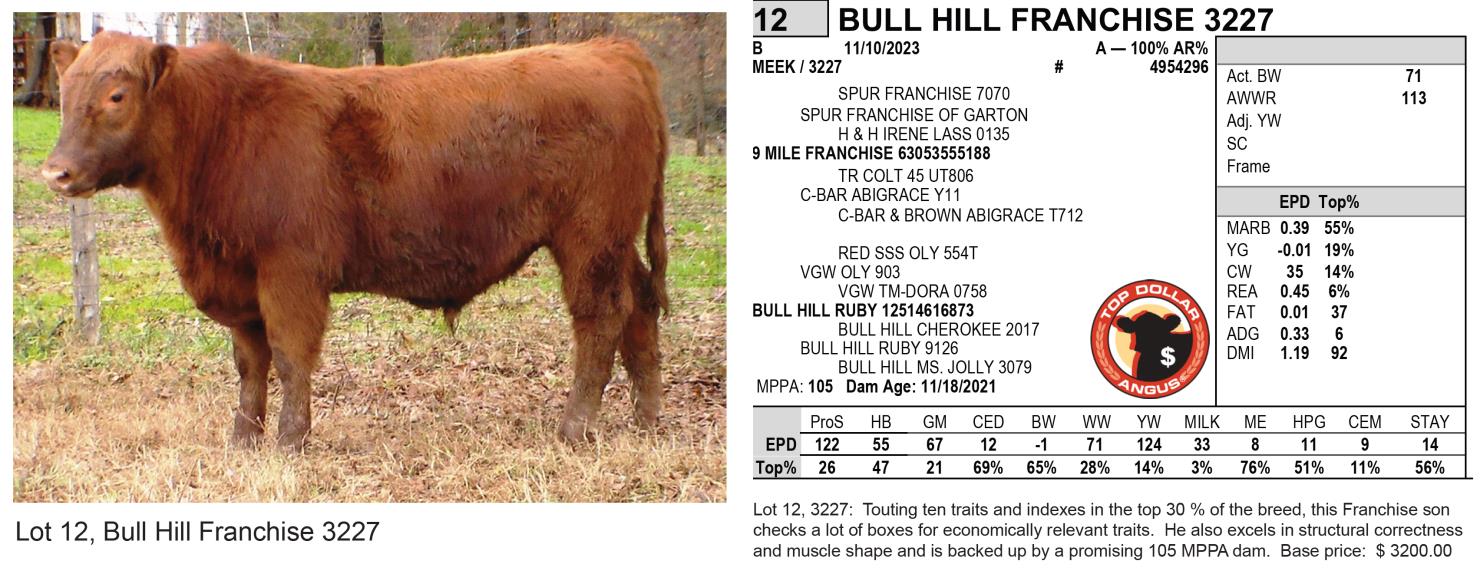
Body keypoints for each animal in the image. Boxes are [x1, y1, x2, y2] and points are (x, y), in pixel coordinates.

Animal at [41, 32, 670, 450]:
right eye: (65, 90)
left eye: (117, 96)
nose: (56, 172)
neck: (222, 131)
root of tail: (609, 48)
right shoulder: (241, 280)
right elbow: (249, 364)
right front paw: (243, 440)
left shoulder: (290, 273)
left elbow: (290, 357)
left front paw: (289, 443)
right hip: (616, 243)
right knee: (640, 307)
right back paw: (646, 419)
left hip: (589, 238)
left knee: (599, 319)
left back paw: (575, 428)